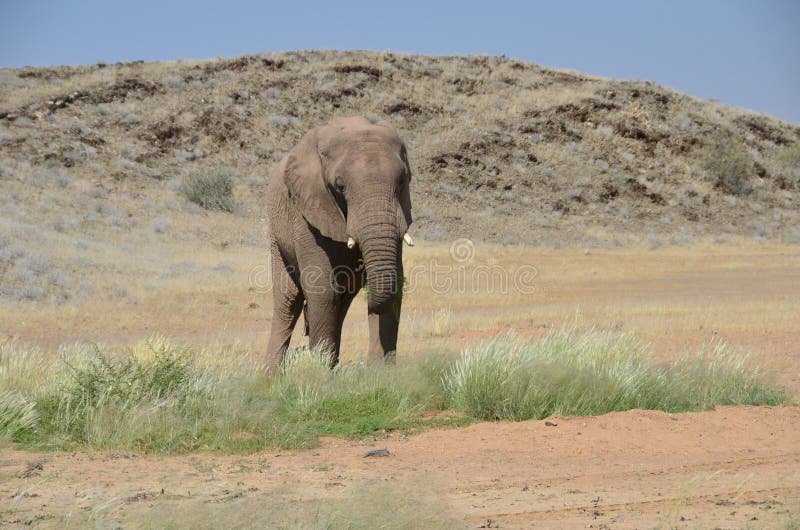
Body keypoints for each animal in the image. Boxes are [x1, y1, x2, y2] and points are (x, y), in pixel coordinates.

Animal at [265, 116, 414, 370]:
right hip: (277, 235)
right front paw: (320, 373)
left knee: (339, 306)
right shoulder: (307, 211)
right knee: (288, 303)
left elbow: (395, 281)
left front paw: (380, 372)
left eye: (402, 180)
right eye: (340, 186)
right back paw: (270, 378)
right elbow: (322, 288)